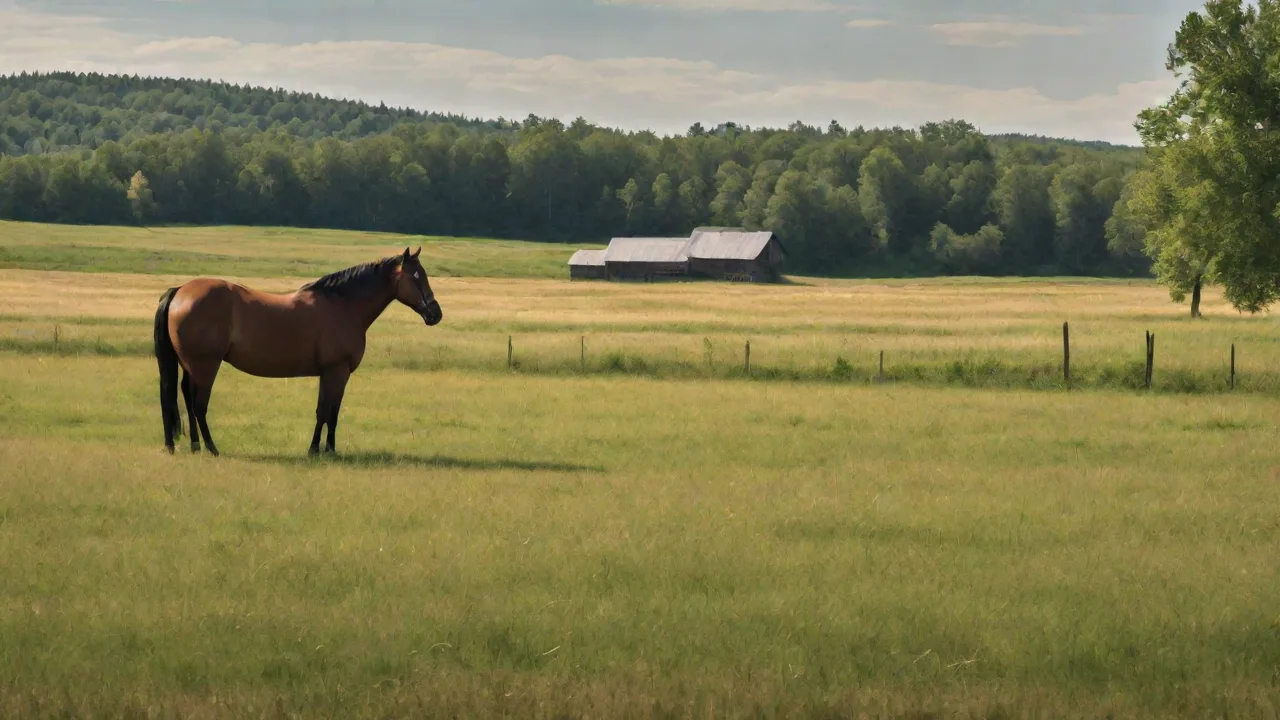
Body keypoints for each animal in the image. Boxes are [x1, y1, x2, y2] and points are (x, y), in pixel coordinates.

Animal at [152, 247, 442, 457]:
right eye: (416, 277)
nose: (435, 314)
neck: (343, 305)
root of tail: (180, 291)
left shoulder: (327, 373)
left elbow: (322, 410)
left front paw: (316, 449)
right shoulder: (338, 372)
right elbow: (331, 412)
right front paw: (327, 450)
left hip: (190, 365)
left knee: (184, 397)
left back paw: (191, 446)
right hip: (206, 366)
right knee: (198, 405)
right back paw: (212, 448)